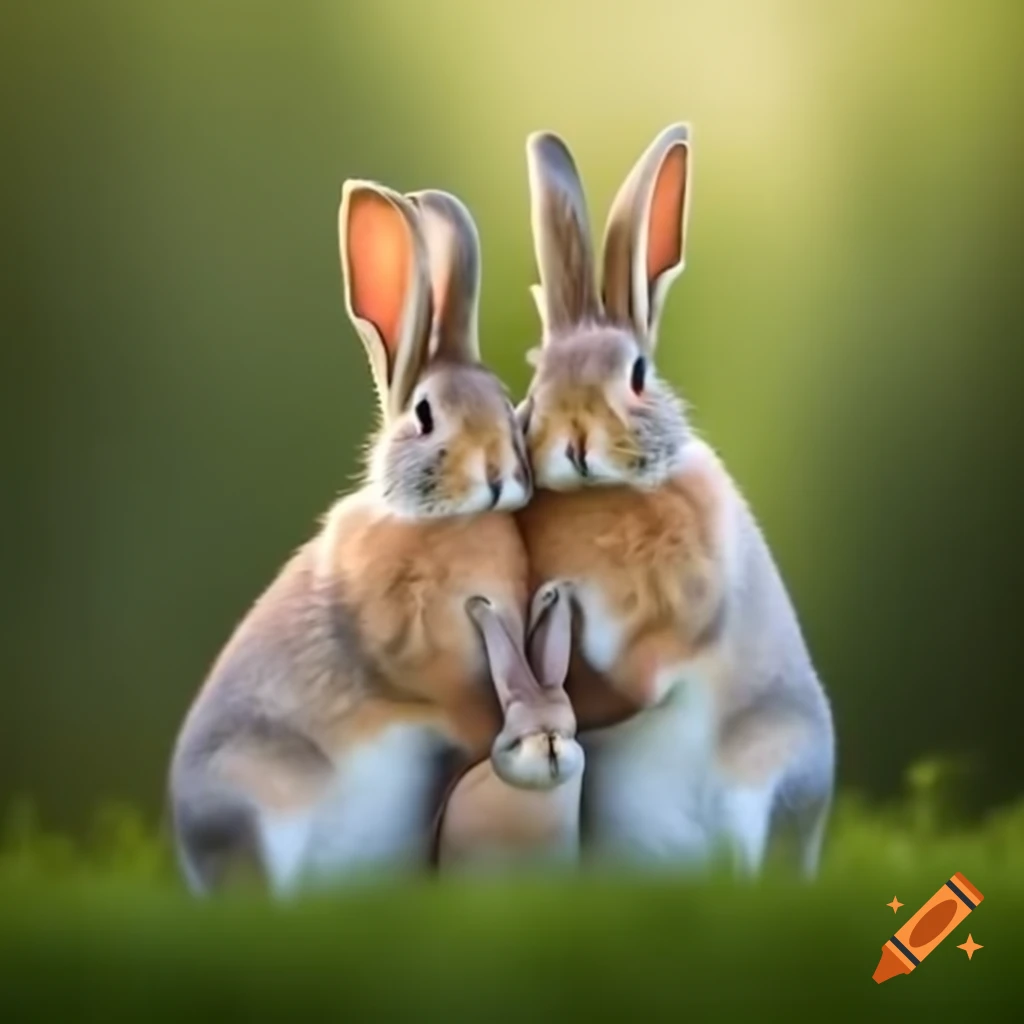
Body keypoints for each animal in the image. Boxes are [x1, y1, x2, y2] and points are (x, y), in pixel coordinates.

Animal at [512, 123, 836, 879]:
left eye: (636, 375)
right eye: (538, 380)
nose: (575, 444)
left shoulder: (678, 614)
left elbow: (650, 665)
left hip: (757, 778)